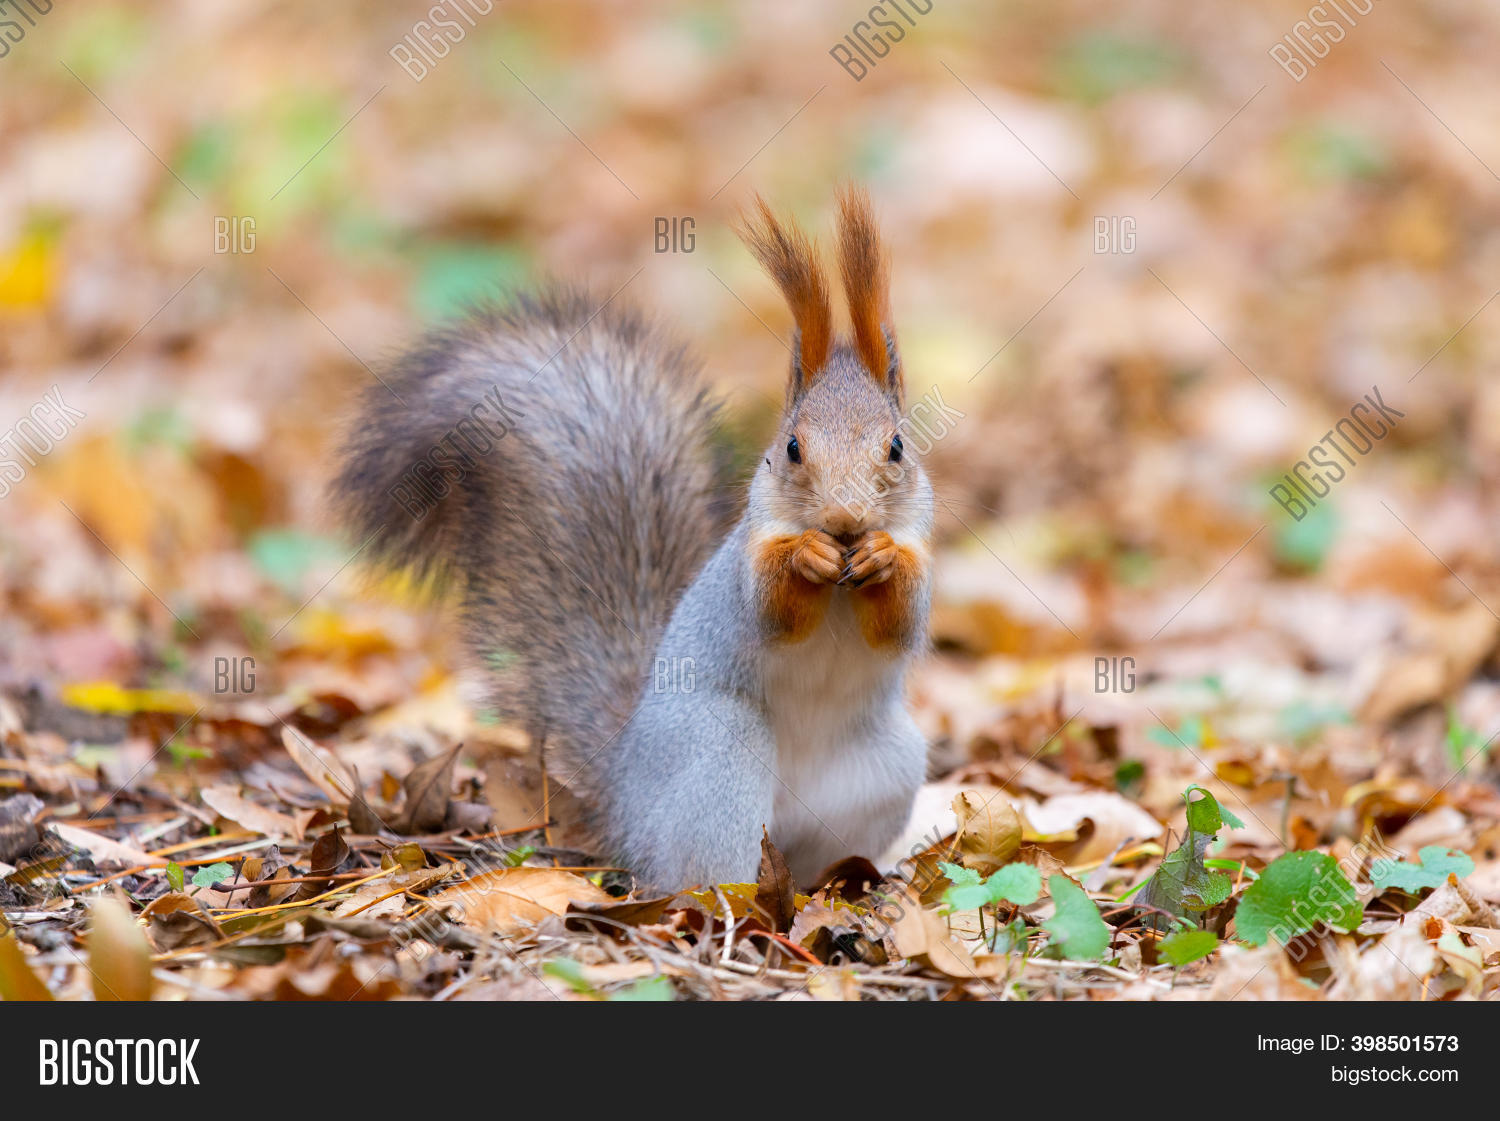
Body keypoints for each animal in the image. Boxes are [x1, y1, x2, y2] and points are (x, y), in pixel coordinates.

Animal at [332, 186, 933, 888]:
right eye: (790, 448)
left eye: (897, 447)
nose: (845, 519)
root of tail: (623, 784)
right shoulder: (741, 567)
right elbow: (768, 609)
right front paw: (804, 557)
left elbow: (901, 621)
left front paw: (883, 557)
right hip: (718, 752)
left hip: (886, 768)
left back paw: (836, 886)